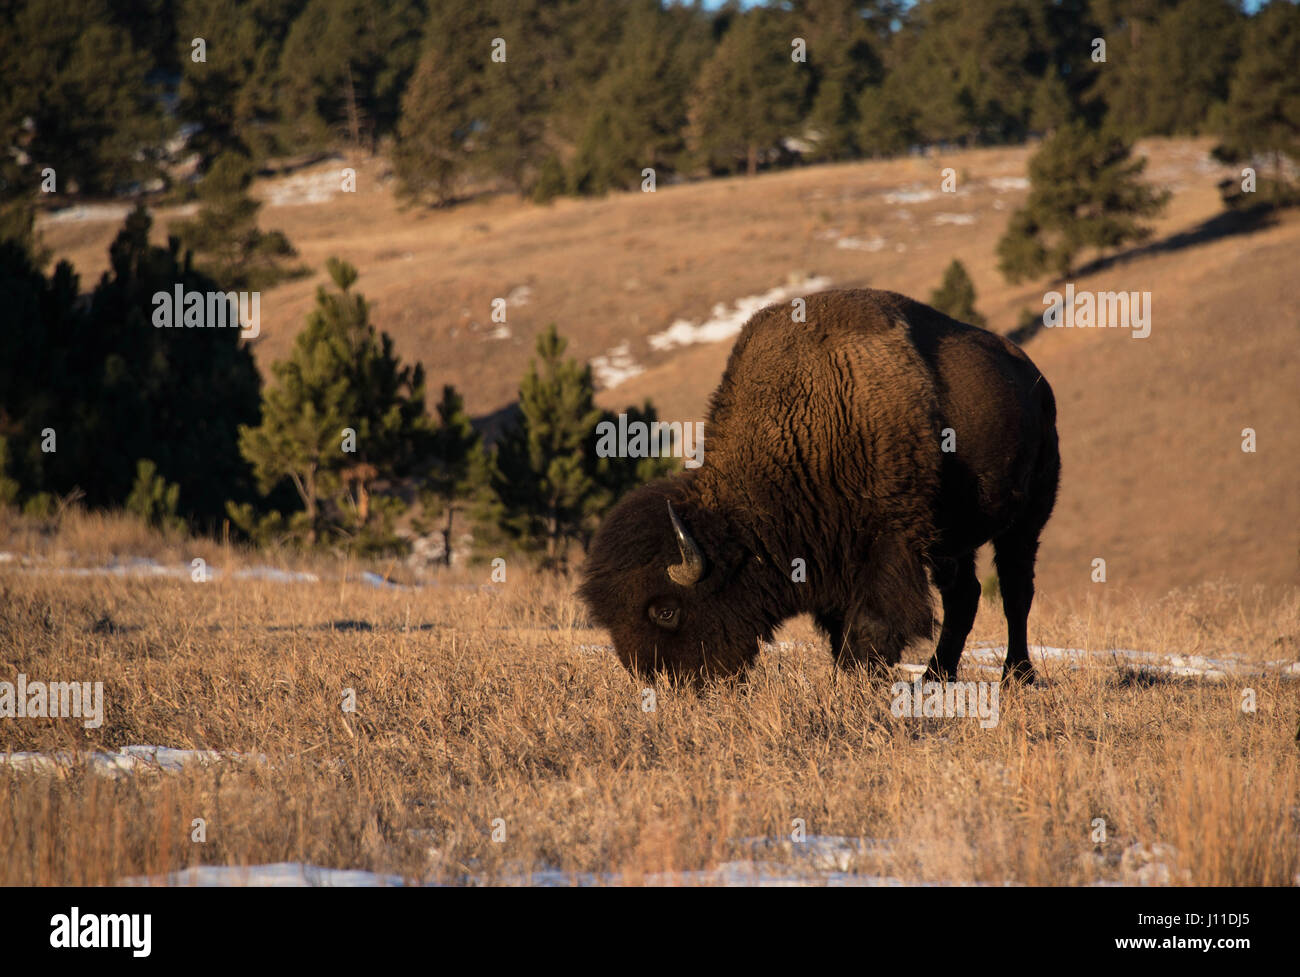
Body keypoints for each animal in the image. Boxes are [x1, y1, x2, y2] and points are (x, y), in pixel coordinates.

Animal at [579, 288, 1059, 685]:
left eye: (665, 610)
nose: (662, 682)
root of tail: (1035, 380)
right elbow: (842, 626)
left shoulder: (890, 543)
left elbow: (872, 623)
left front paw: (853, 680)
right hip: (952, 541)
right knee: (966, 596)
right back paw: (935, 677)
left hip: (1025, 520)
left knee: (1016, 591)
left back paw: (1017, 676)